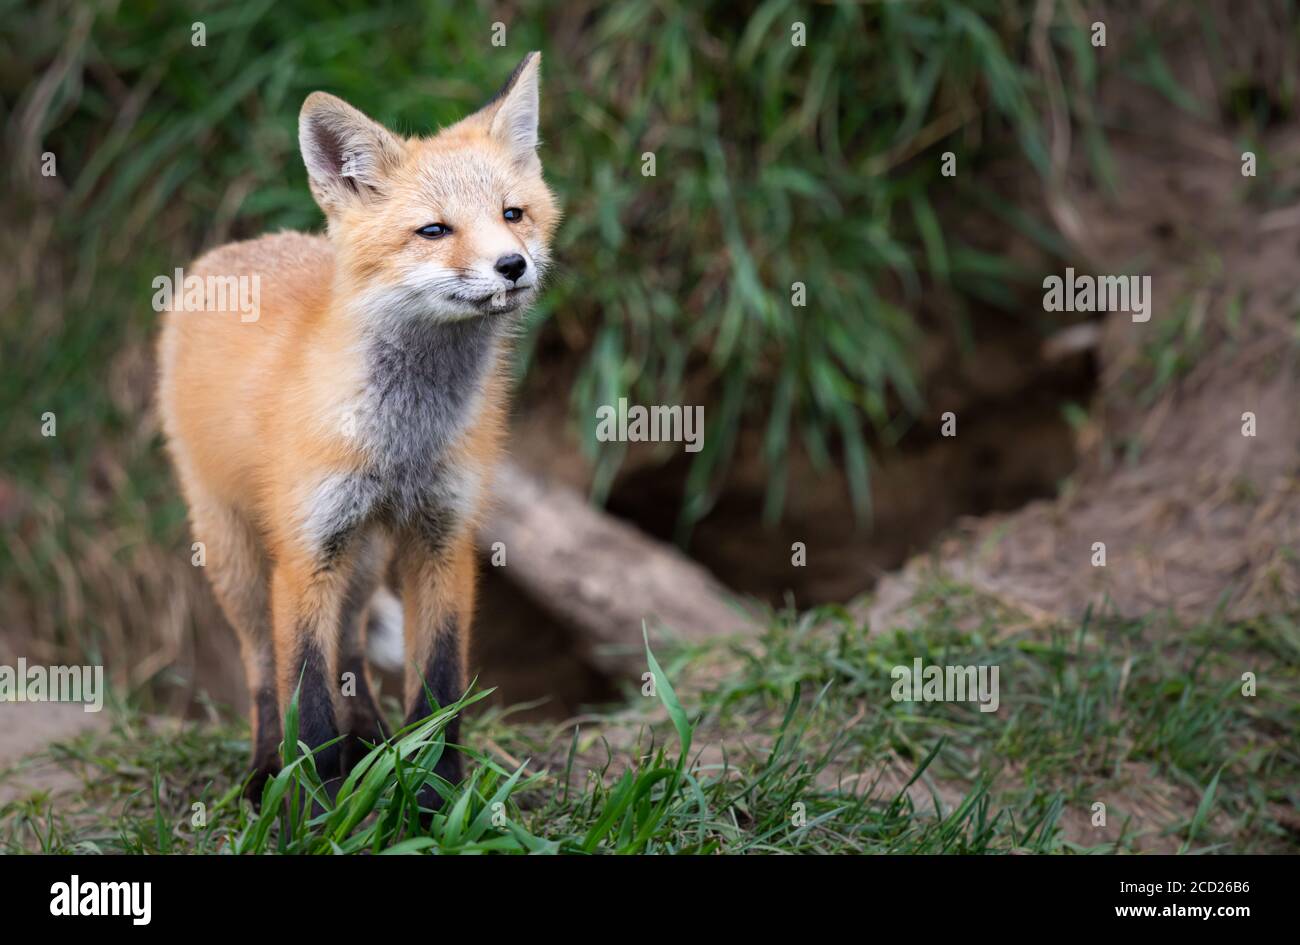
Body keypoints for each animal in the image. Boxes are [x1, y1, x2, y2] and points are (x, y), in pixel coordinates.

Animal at [156, 53, 558, 804]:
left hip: (365, 555)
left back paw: (370, 743)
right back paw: (267, 769)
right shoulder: (304, 551)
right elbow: (305, 705)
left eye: (512, 214)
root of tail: (231, 250)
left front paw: (432, 801)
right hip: (235, 553)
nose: (513, 266)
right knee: (261, 669)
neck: (404, 441)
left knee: (351, 653)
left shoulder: (442, 539)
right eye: (434, 230)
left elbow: (437, 693)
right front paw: (311, 809)